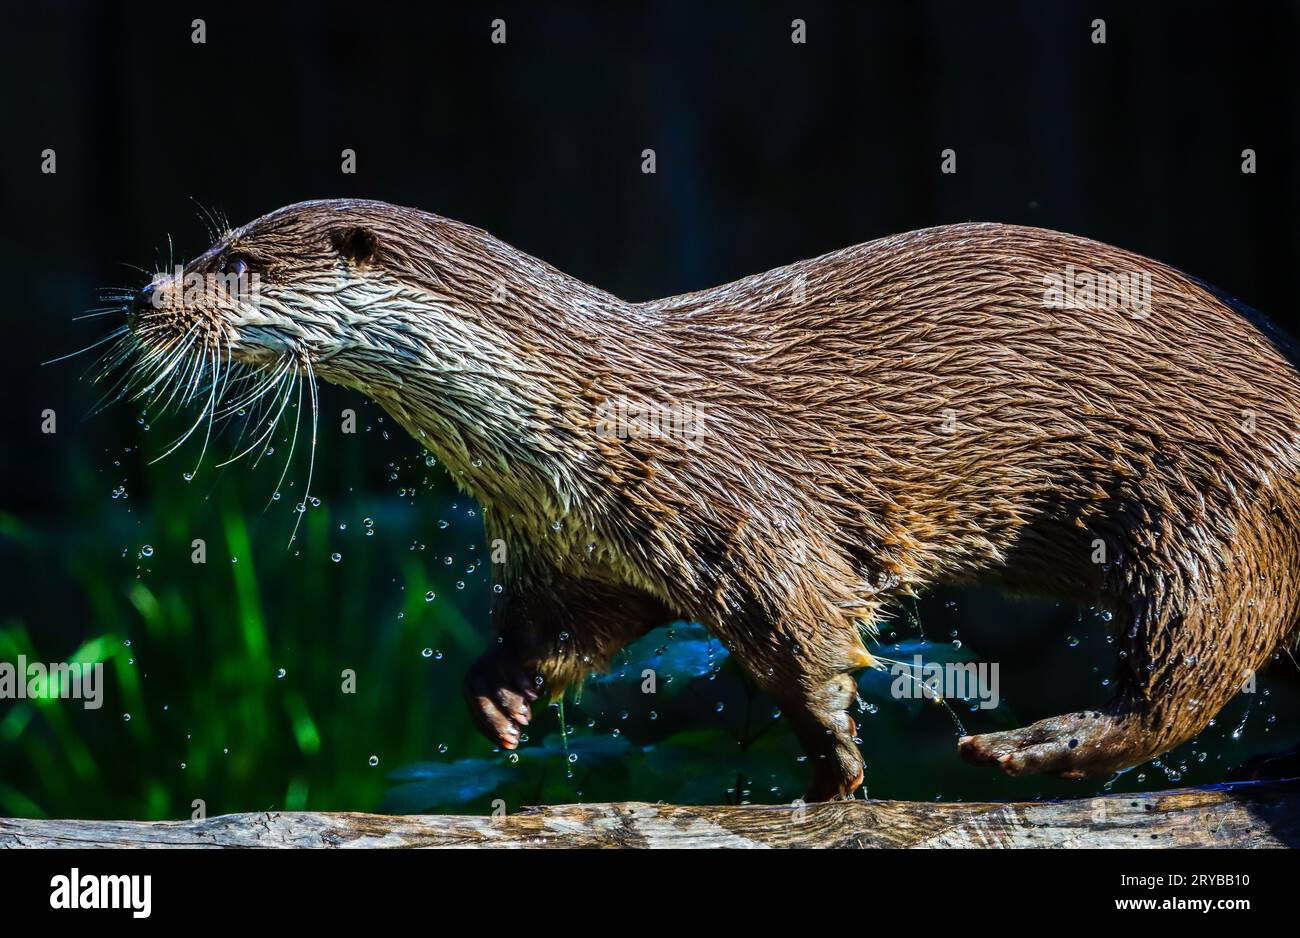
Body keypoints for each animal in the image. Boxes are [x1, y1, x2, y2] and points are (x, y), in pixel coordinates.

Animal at [124, 199, 1300, 801]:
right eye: (202, 245)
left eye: (235, 262)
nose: (148, 293)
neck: (568, 418)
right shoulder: (577, 548)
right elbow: (570, 631)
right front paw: (499, 692)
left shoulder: (735, 503)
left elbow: (806, 625)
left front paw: (835, 767)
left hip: (1210, 507)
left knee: (1190, 662)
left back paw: (1031, 745)